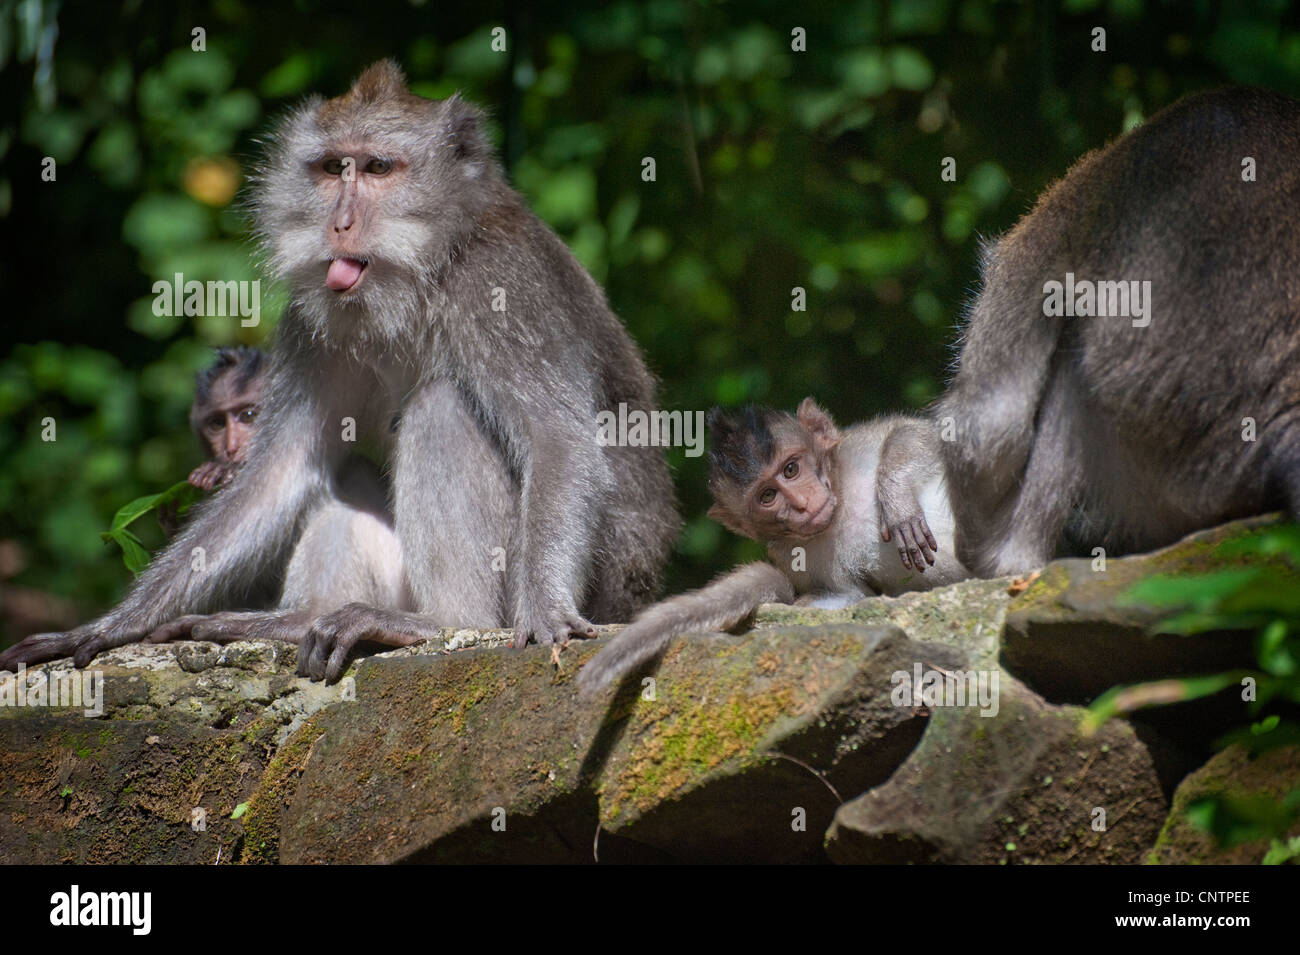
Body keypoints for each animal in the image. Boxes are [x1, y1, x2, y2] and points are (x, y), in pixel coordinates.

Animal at [0, 60, 679, 683]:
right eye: (332, 168)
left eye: (378, 168)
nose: (340, 223)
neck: (423, 271)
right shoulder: (310, 321)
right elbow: (281, 469)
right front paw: (113, 625)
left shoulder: (503, 285)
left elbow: (556, 440)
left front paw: (544, 615)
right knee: (343, 468)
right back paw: (300, 619)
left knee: (443, 407)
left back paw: (444, 623)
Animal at [576, 398, 970, 694]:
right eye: (768, 496)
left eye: (791, 469)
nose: (803, 505)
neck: (841, 510)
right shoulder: (797, 556)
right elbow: (847, 595)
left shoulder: (855, 452)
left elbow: (919, 434)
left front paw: (898, 501)